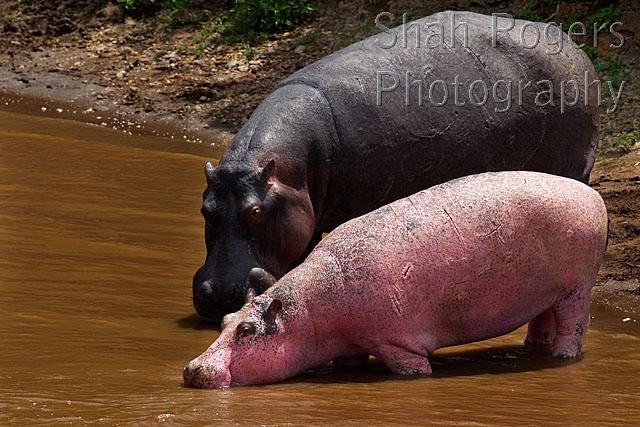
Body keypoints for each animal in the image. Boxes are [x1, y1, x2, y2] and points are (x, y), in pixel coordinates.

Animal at [184, 171, 608, 388]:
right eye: (226, 321)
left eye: (247, 332)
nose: (191, 368)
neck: (304, 314)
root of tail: (593, 195)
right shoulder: (350, 343)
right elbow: (349, 360)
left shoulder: (397, 343)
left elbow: (413, 369)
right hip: (547, 292)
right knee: (543, 321)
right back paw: (533, 348)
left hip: (577, 288)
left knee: (573, 328)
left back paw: (562, 358)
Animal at [193, 11, 599, 320]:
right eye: (205, 210)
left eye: (255, 212)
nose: (217, 294)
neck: (284, 173)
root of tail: (571, 44)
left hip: (572, 170)